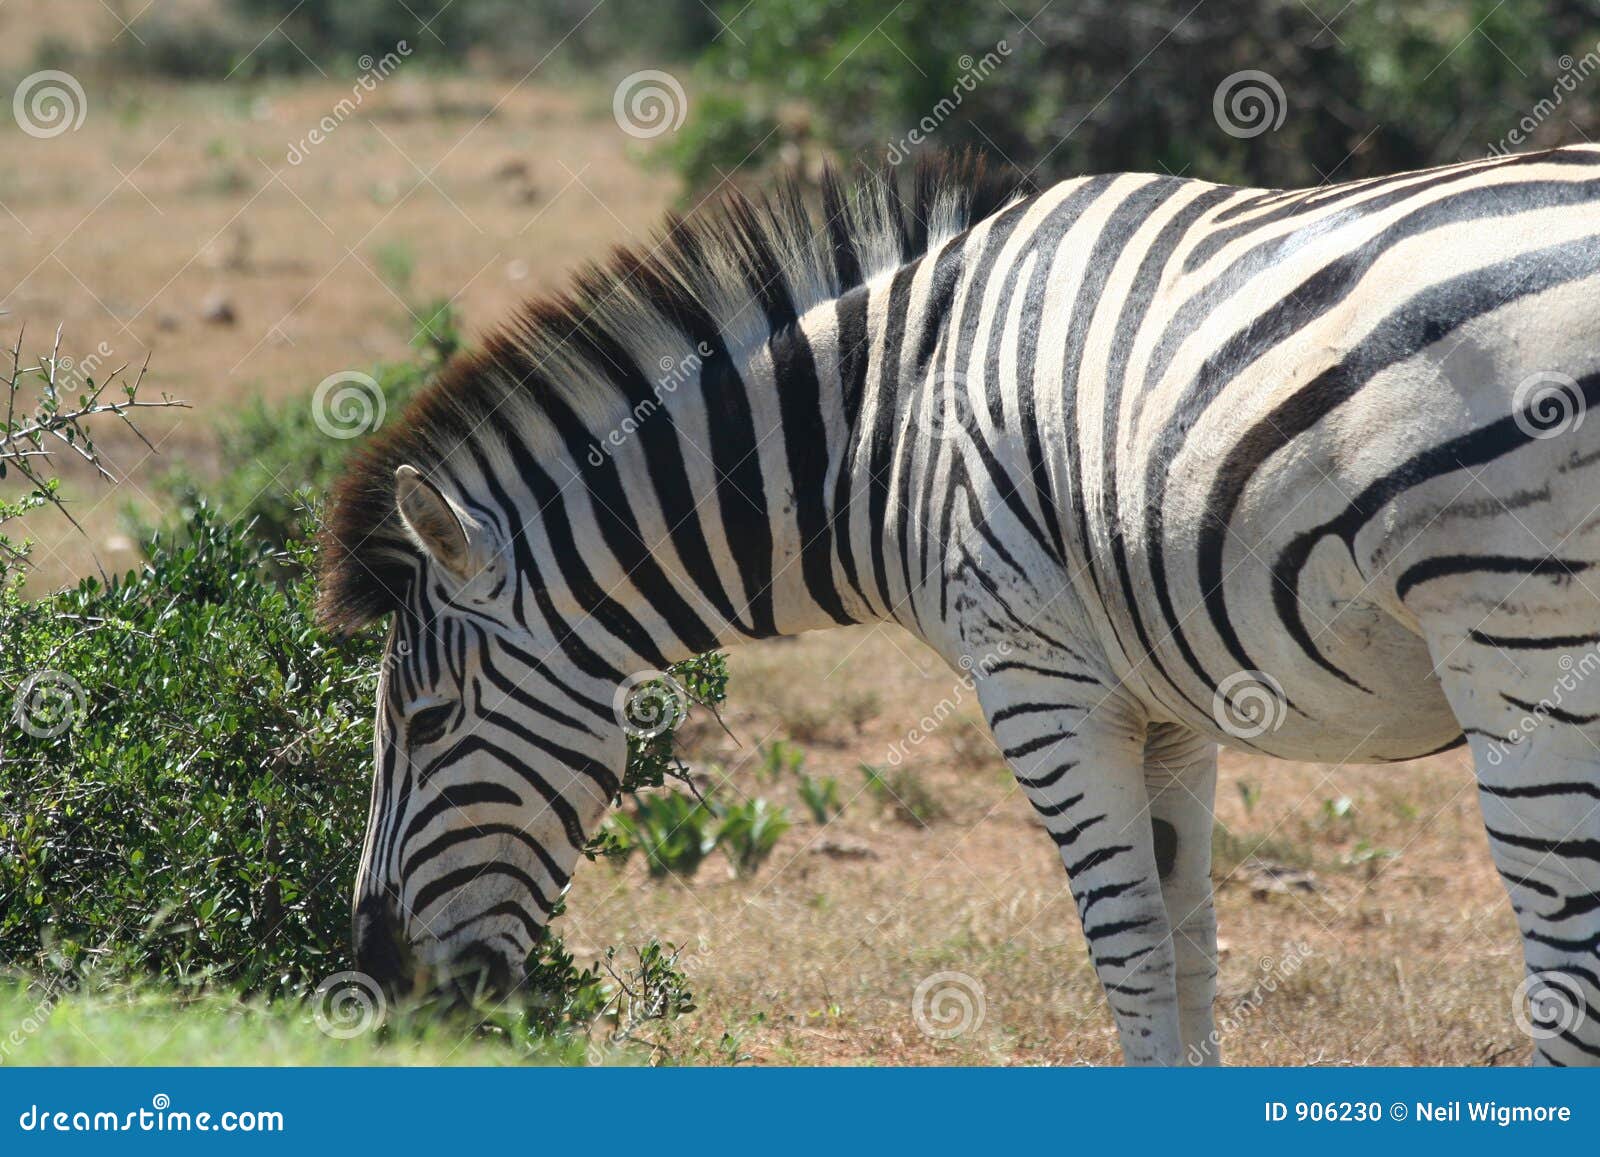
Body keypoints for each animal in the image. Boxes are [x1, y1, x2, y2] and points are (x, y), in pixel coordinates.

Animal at [320, 148, 1600, 1065]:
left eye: (424, 722)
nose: (376, 985)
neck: (880, 429)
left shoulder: (1037, 680)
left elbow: (1129, 951)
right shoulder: (1168, 701)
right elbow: (1188, 939)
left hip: (1519, 650)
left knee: (1567, 969)